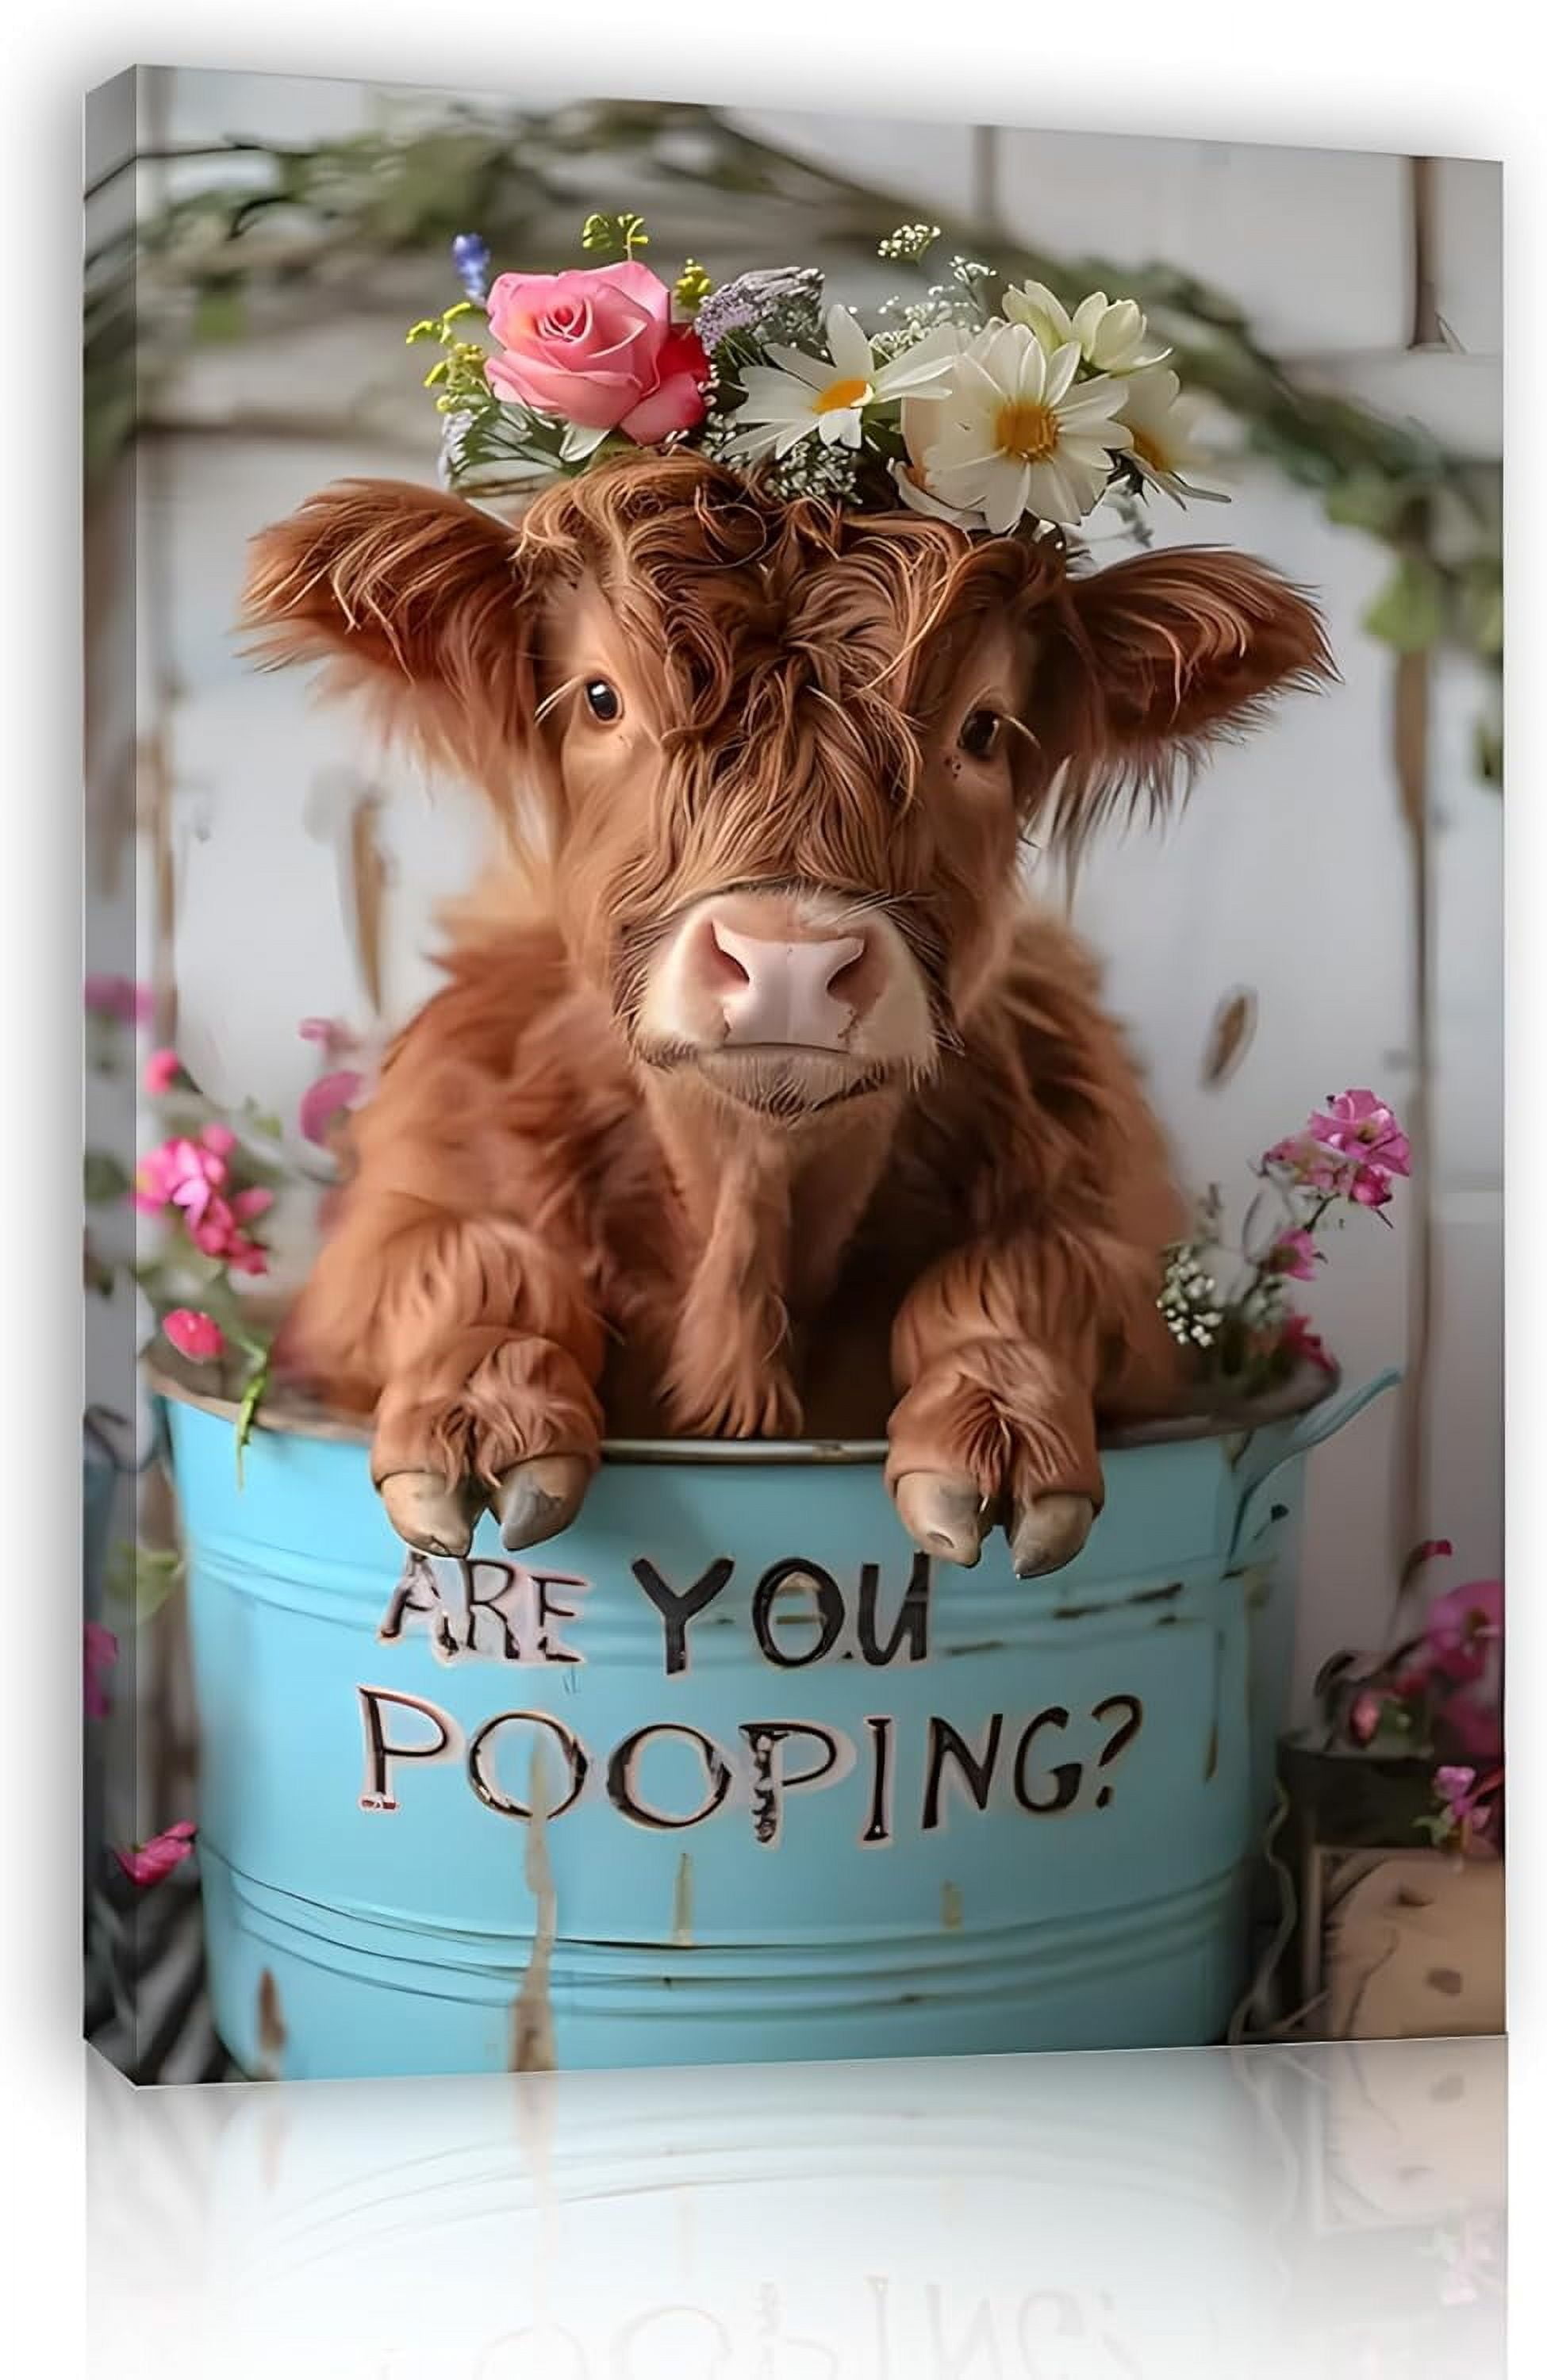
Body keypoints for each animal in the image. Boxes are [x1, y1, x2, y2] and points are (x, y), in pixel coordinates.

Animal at [243, 452, 1329, 1578]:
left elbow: (1025, 1269)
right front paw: (476, 1410)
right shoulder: (402, 1211)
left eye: (982, 727)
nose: (789, 961)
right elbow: (468, 1255)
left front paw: (999, 1423)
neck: (754, 1207)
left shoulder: (1106, 1217)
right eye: (600, 698)